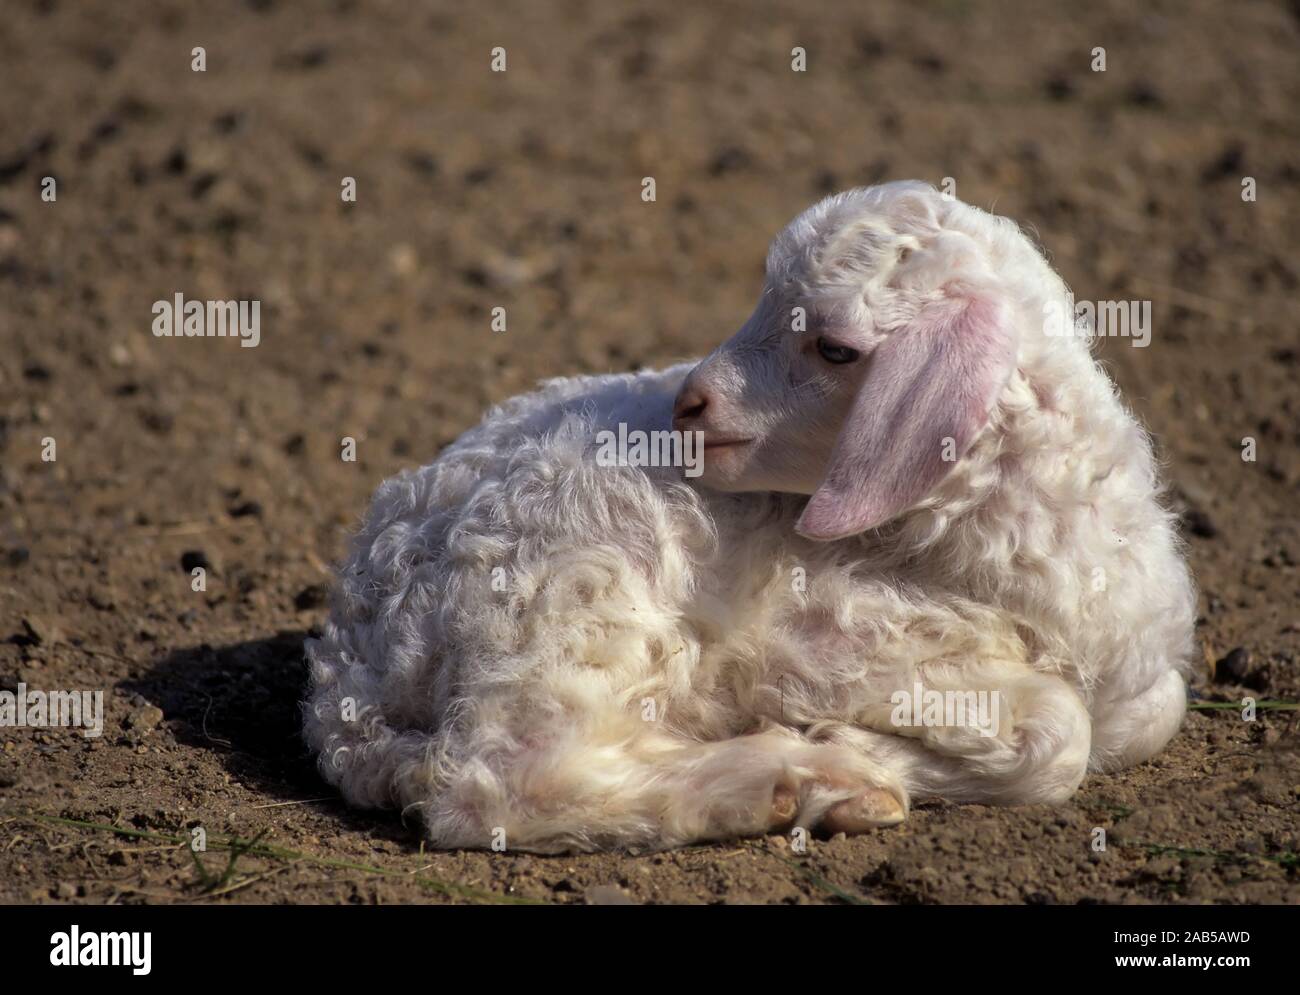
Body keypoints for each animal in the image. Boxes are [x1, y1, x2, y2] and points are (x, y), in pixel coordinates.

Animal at [303, 181, 1197, 852]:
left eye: (833, 348)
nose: (686, 404)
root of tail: (344, 676)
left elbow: (1153, 710)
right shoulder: (820, 633)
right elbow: (1060, 728)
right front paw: (850, 748)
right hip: (563, 578)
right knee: (496, 784)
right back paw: (793, 779)